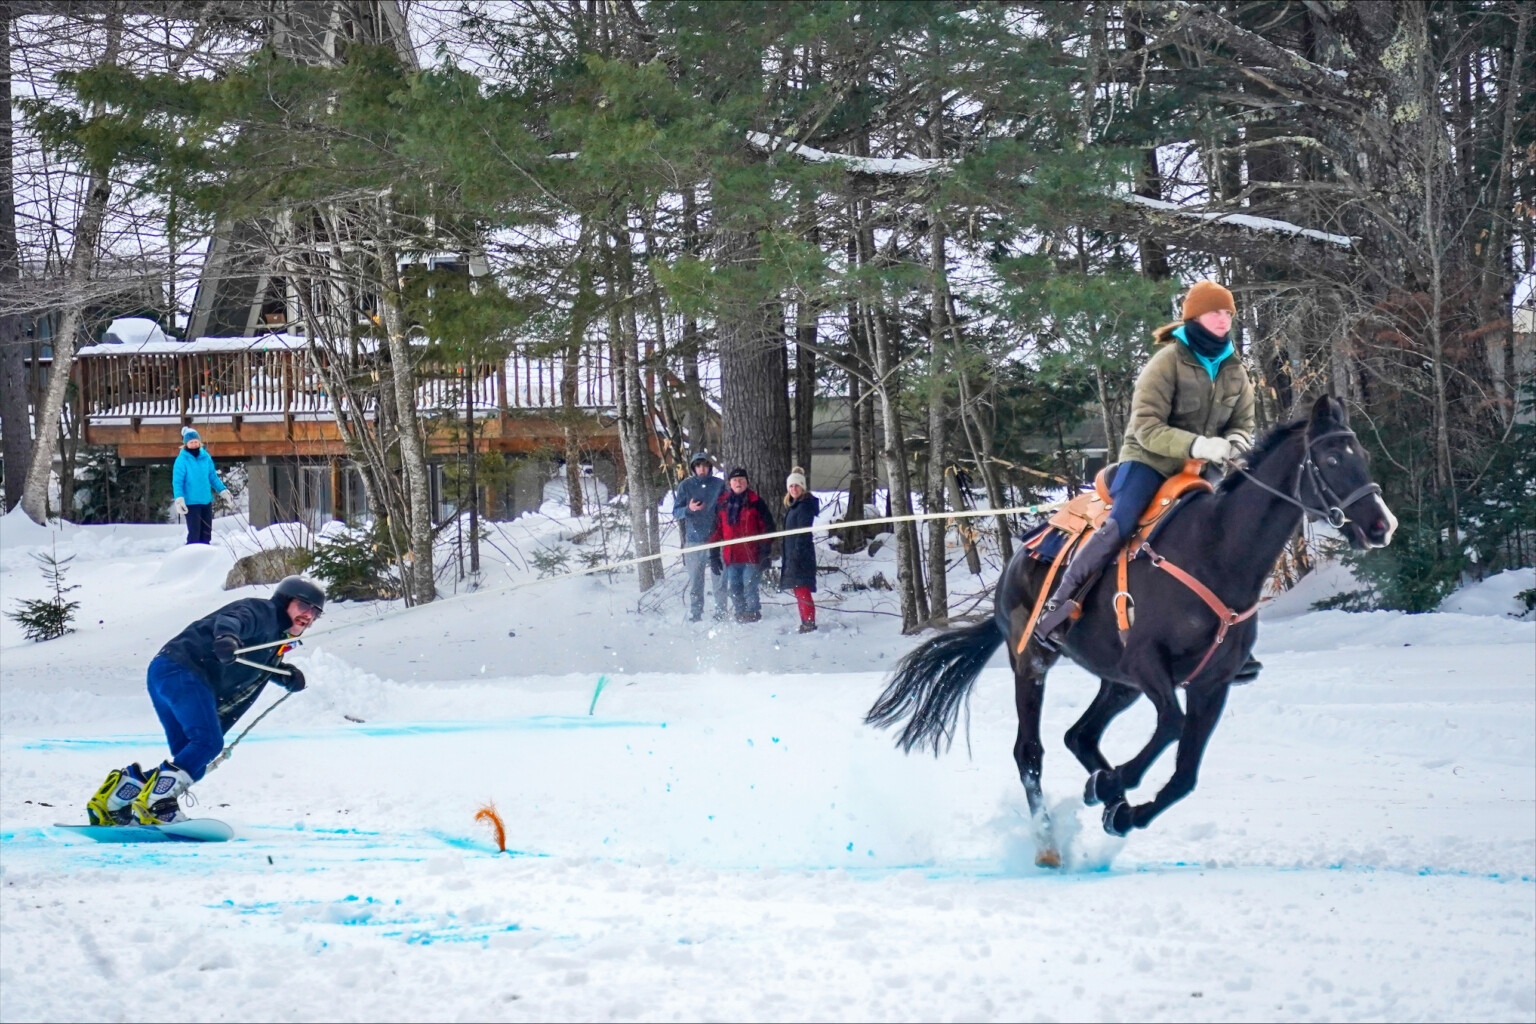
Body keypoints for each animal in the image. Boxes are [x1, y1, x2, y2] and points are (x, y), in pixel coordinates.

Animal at [866, 396, 1397, 863]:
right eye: (1331, 457)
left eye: (1364, 456)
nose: (1381, 524)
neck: (1216, 553)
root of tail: (1018, 558)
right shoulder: (1148, 664)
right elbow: (1173, 727)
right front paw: (1114, 787)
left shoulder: (1211, 683)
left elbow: (1185, 773)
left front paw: (1121, 807)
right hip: (1033, 662)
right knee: (1030, 752)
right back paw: (1049, 844)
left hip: (1117, 683)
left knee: (1079, 736)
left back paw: (1104, 792)